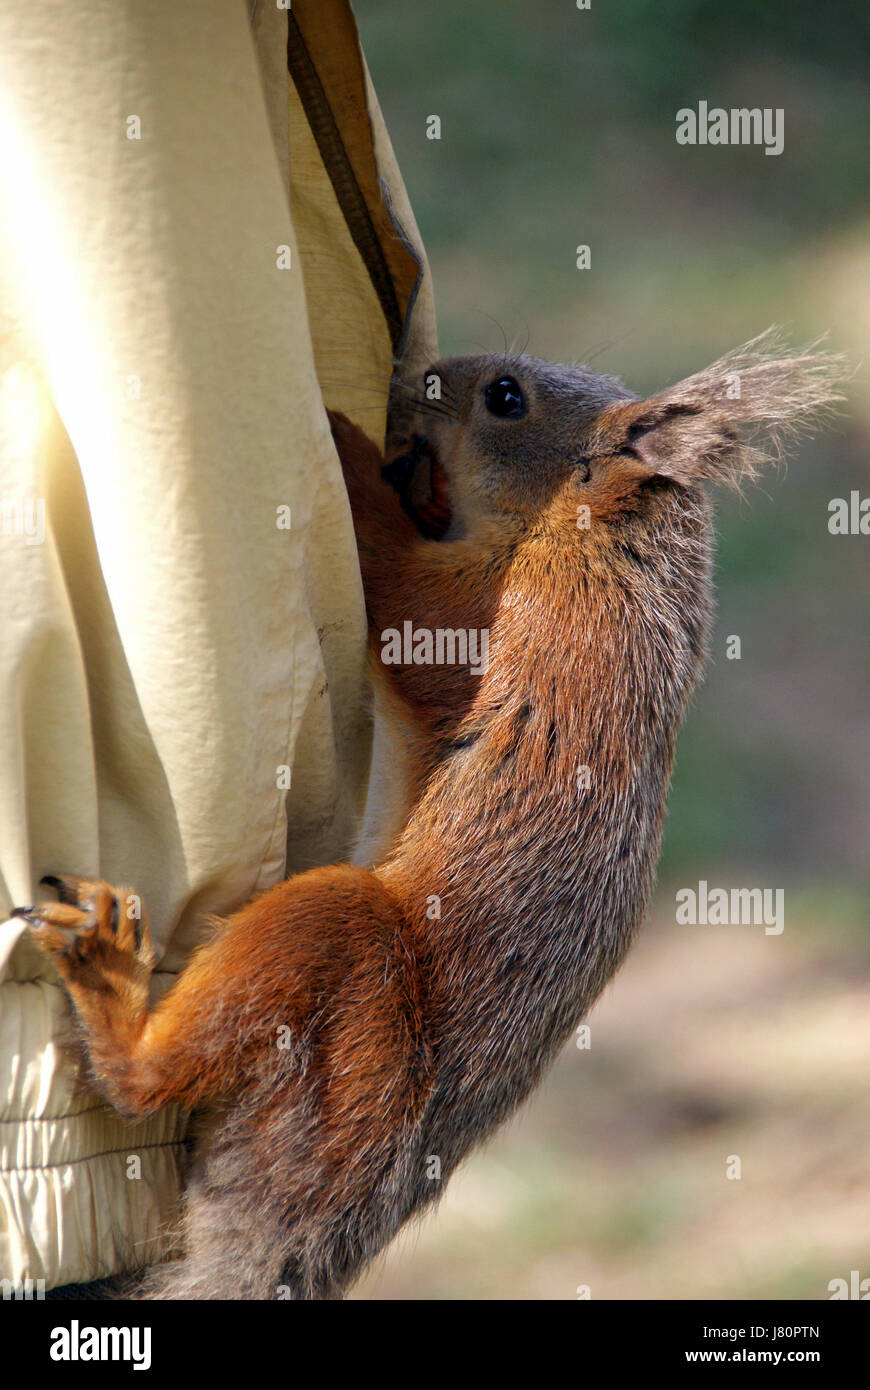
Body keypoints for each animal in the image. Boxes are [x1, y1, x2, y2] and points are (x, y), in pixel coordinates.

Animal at [14, 329, 844, 1299]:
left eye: (506, 399)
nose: (417, 377)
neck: (598, 529)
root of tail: (337, 1206)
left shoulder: (506, 607)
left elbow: (407, 595)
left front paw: (350, 452)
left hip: (350, 976)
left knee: (147, 1080)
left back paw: (110, 983)